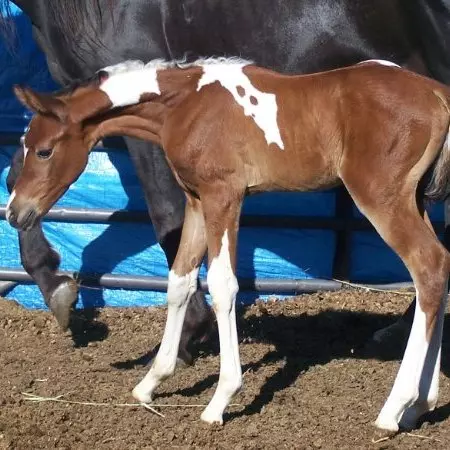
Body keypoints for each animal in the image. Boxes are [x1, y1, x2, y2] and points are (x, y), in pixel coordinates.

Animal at [0, 0, 450, 358]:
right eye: (36, 147)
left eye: (47, 152)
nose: (17, 216)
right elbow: (15, 175)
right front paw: (54, 284)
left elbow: (167, 221)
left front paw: (188, 337)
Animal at [6, 59, 450, 432]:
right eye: (22, 147)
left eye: (44, 151)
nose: (14, 212)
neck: (186, 105)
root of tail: (436, 93)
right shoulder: (196, 200)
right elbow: (179, 281)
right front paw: (151, 382)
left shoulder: (224, 196)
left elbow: (223, 286)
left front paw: (220, 400)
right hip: (416, 200)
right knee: (440, 269)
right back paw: (420, 404)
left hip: (380, 197)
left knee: (427, 266)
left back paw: (394, 409)